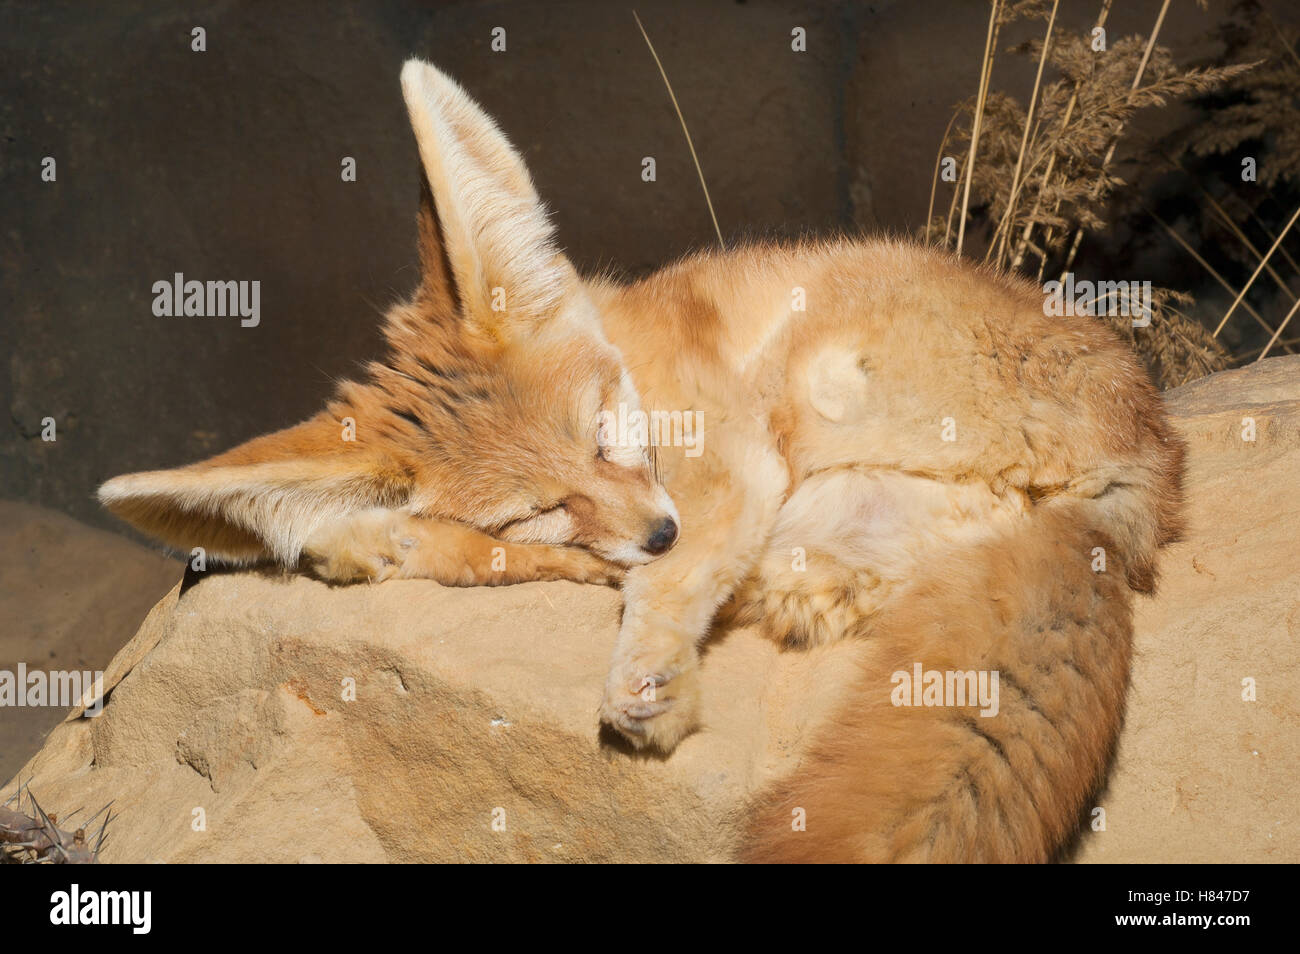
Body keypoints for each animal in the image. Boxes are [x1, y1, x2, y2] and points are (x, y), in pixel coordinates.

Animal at [98, 59, 1185, 863]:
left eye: (602, 435)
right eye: (538, 503)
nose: (657, 528)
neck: (635, 359)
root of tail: (1138, 471)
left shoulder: (725, 469)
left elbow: (657, 582)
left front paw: (650, 669)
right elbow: (495, 550)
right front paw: (357, 542)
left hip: (808, 382)